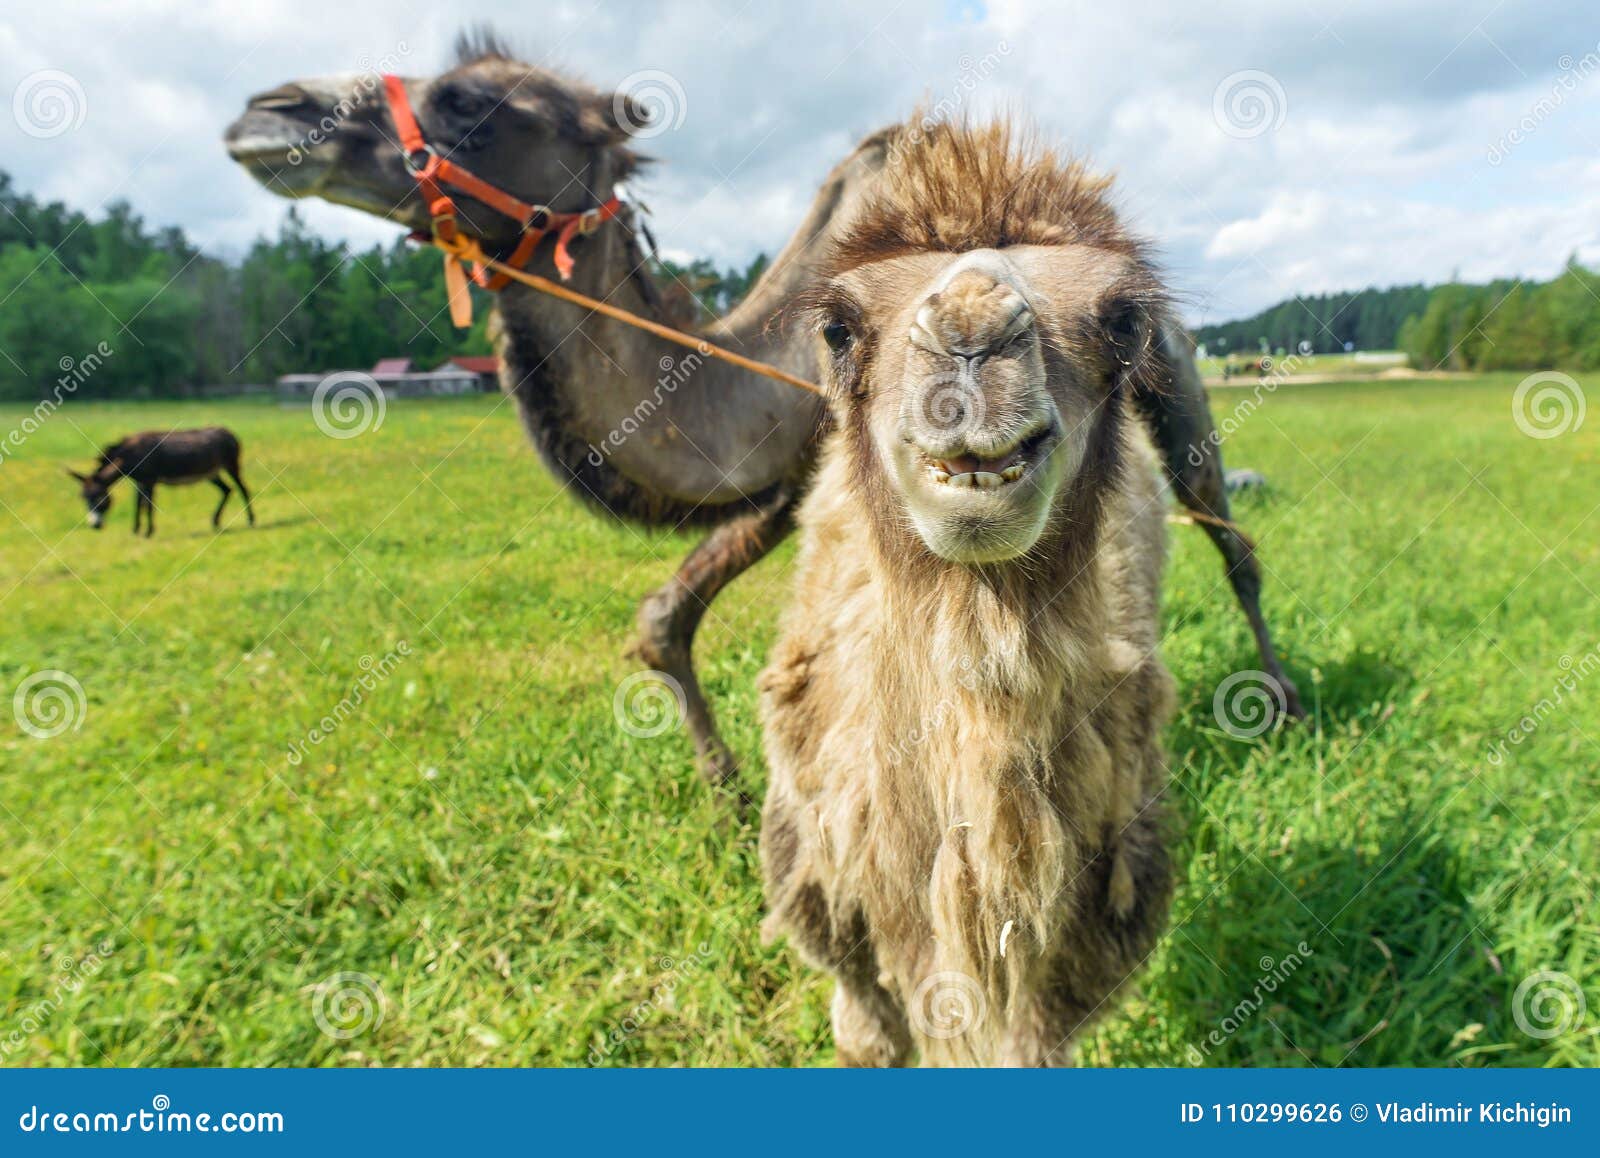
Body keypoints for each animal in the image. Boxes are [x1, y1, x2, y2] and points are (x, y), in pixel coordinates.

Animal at [224, 31, 1301, 786]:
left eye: (473, 101)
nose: (267, 111)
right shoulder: (783, 477)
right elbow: (664, 617)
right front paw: (726, 784)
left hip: (1172, 369)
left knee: (1225, 530)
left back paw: (1279, 696)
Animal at [759, 119, 1177, 1066]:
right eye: (838, 328)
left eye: (1124, 320)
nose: (971, 335)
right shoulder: (824, 880)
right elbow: (867, 1026)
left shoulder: (1087, 936)